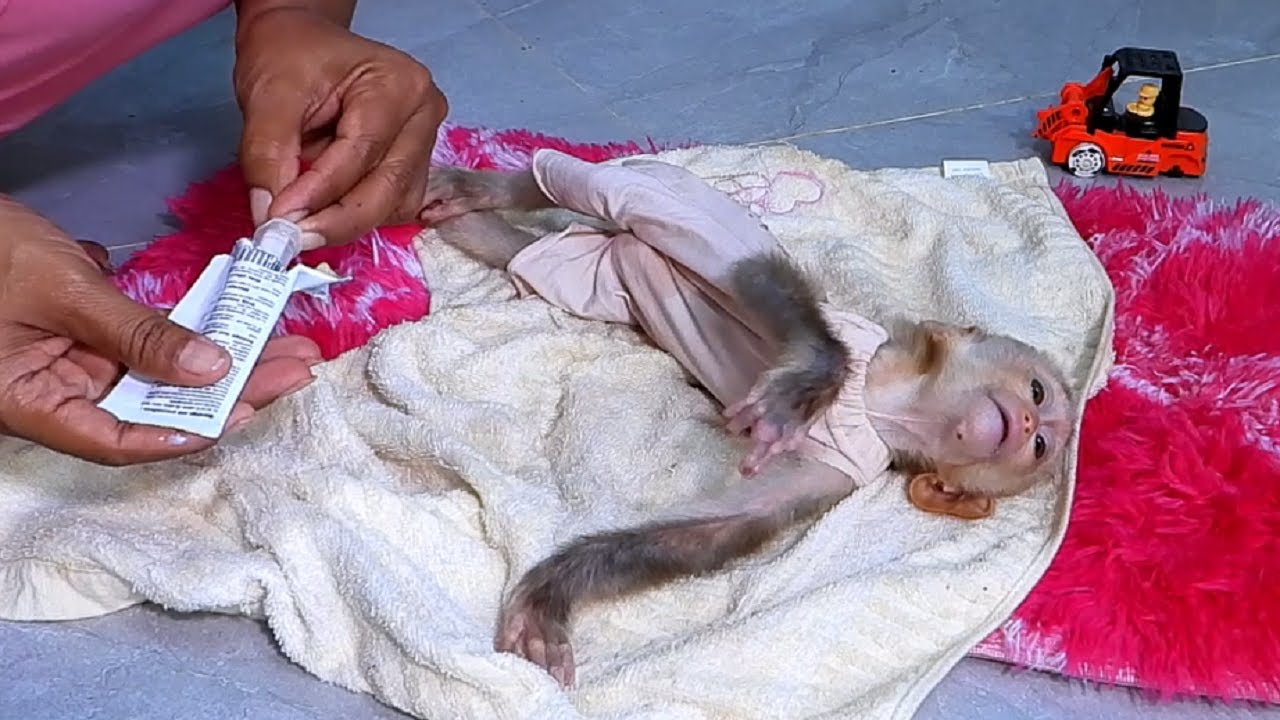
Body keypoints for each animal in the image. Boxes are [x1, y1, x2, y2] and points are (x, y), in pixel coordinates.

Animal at [418, 150, 1073, 687]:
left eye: (1042, 446)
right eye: (1038, 391)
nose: (1028, 427)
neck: (884, 410)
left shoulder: (840, 473)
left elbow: (723, 526)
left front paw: (556, 588)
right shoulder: (869, 342)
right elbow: (760, 280)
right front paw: (808, 382)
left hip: (585, 278)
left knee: (565, 244)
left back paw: (475, 223)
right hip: (669, 186)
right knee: (643, 207)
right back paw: (500, 185)